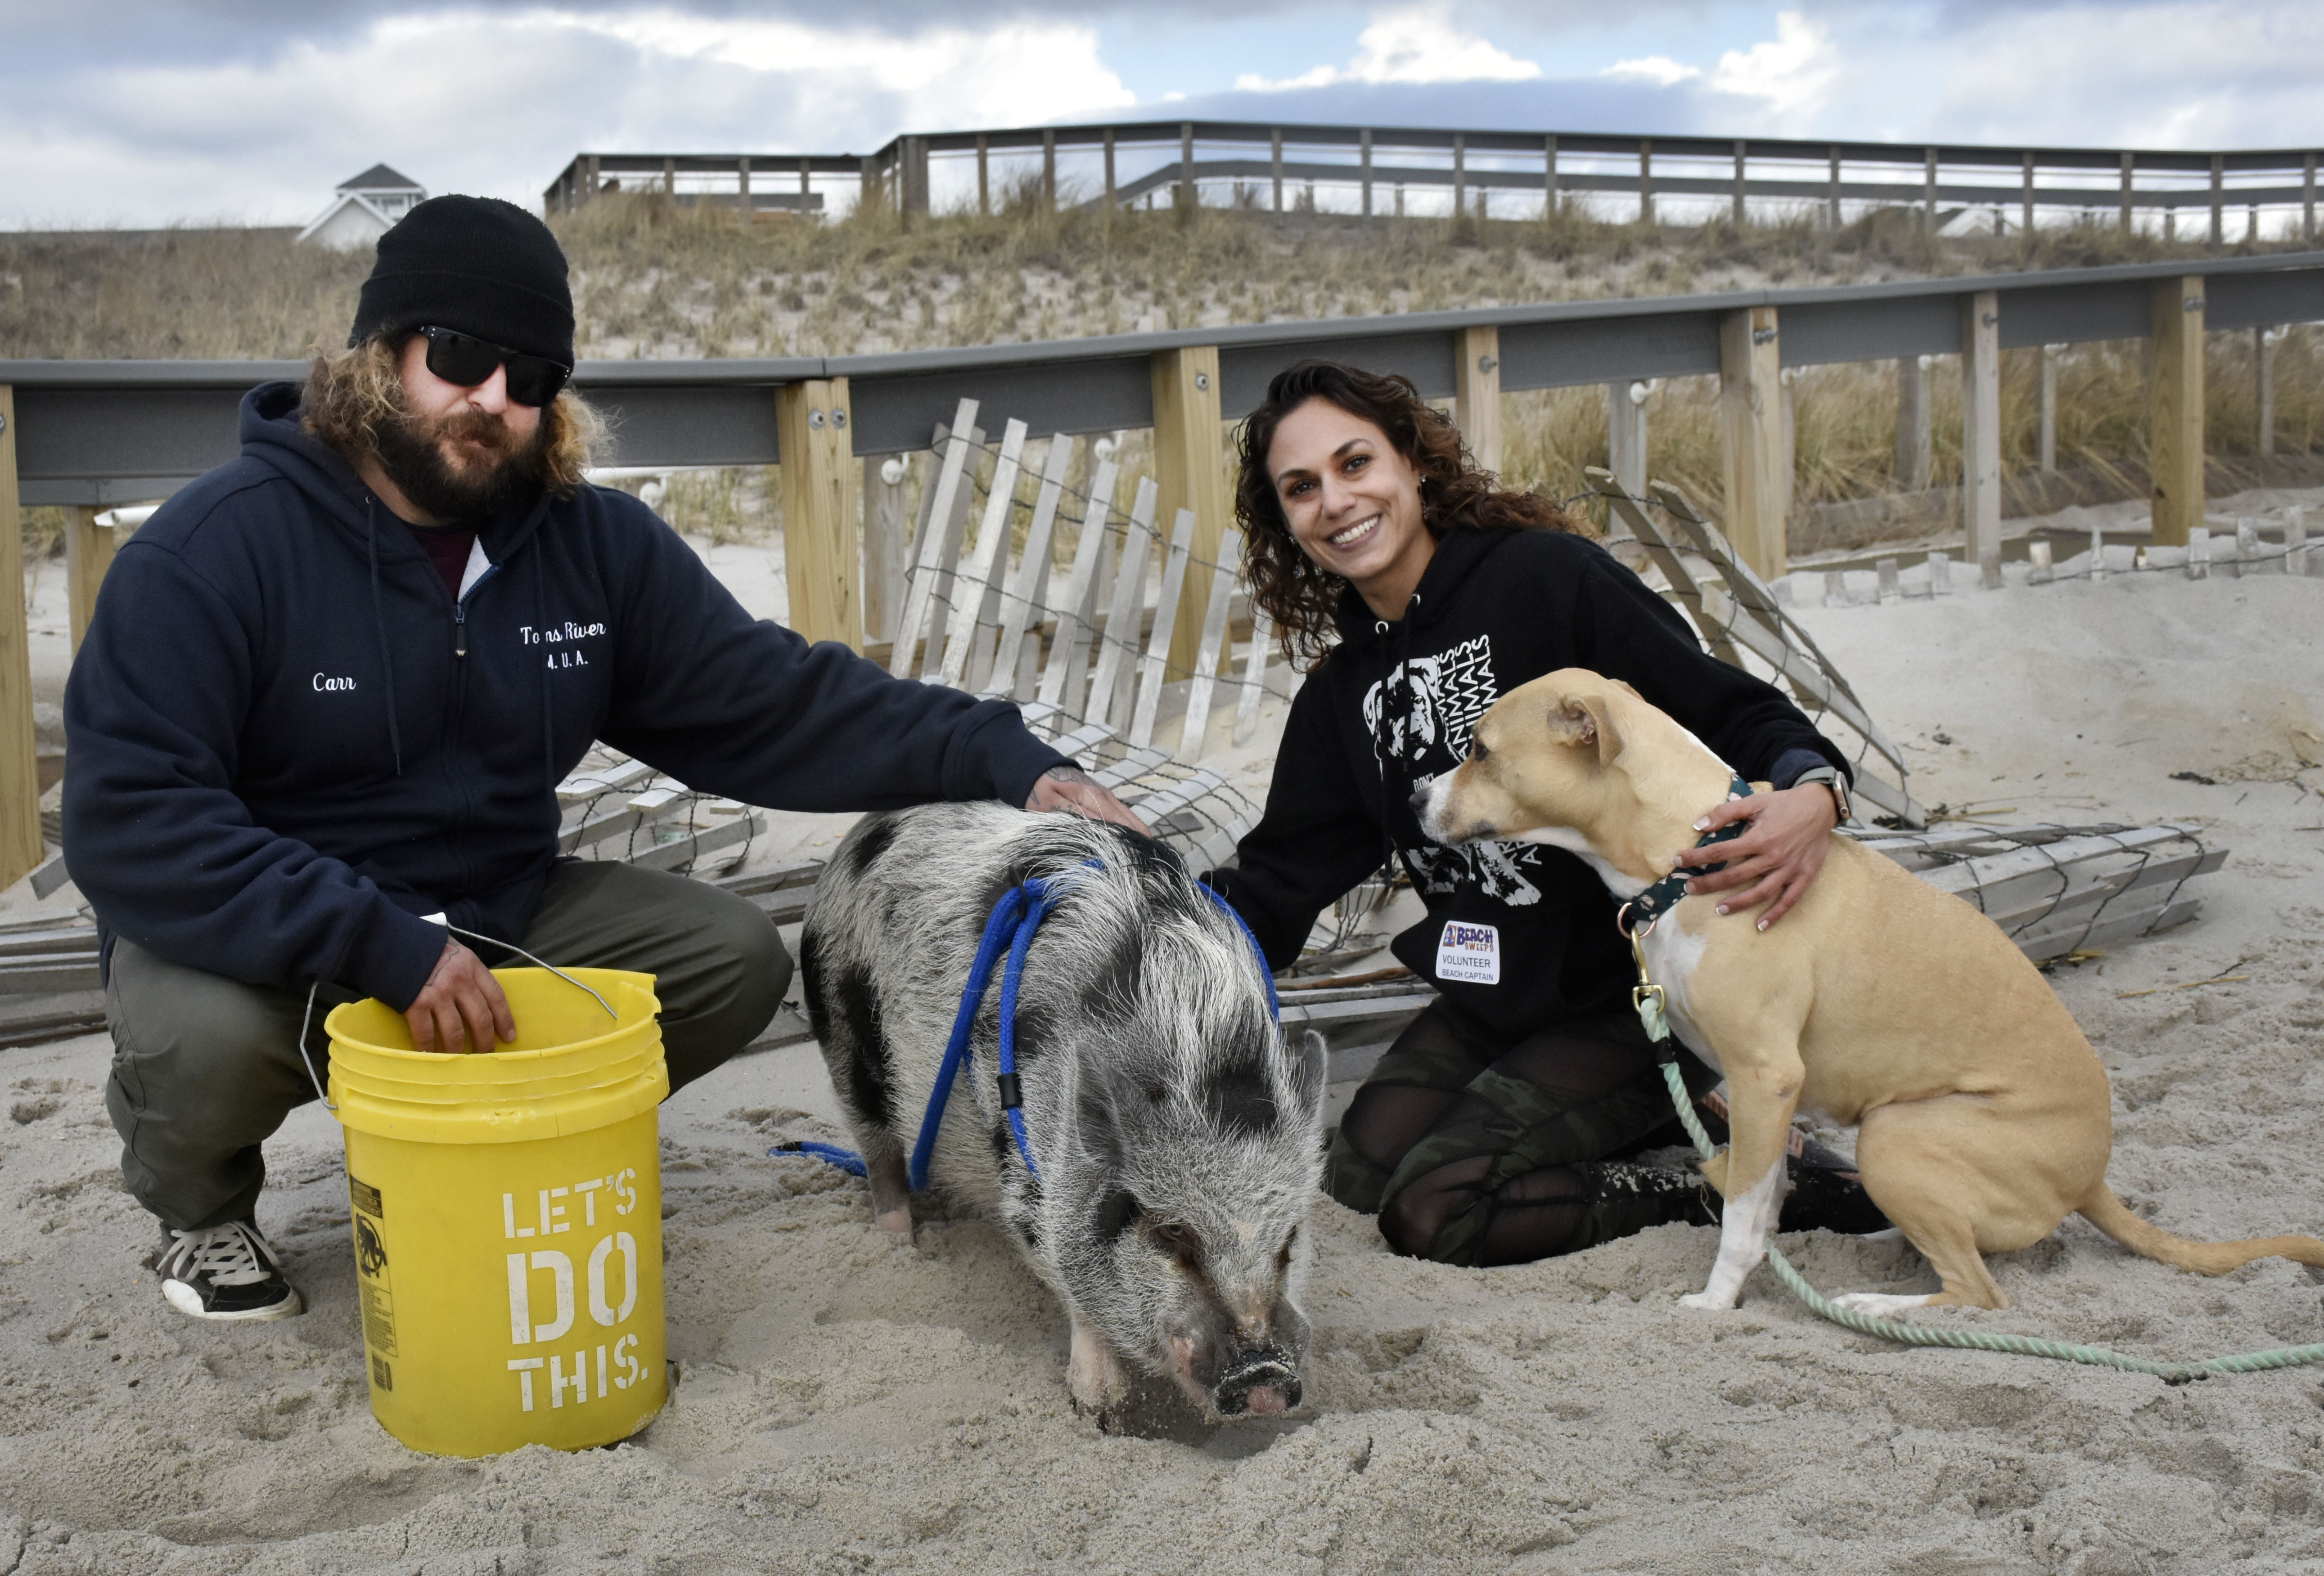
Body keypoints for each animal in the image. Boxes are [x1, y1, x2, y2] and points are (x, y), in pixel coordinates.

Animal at [801, 801, 1323, 1429]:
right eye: (1172, 1230)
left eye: (1289, 1235)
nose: (1265, 1374)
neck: (1193, 1040)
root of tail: (861, 830)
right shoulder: (1025, 1166)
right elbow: (1063, 1271)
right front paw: (1099, 1409)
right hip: (844, 1036)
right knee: (879, 1155)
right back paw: (905, 1248)